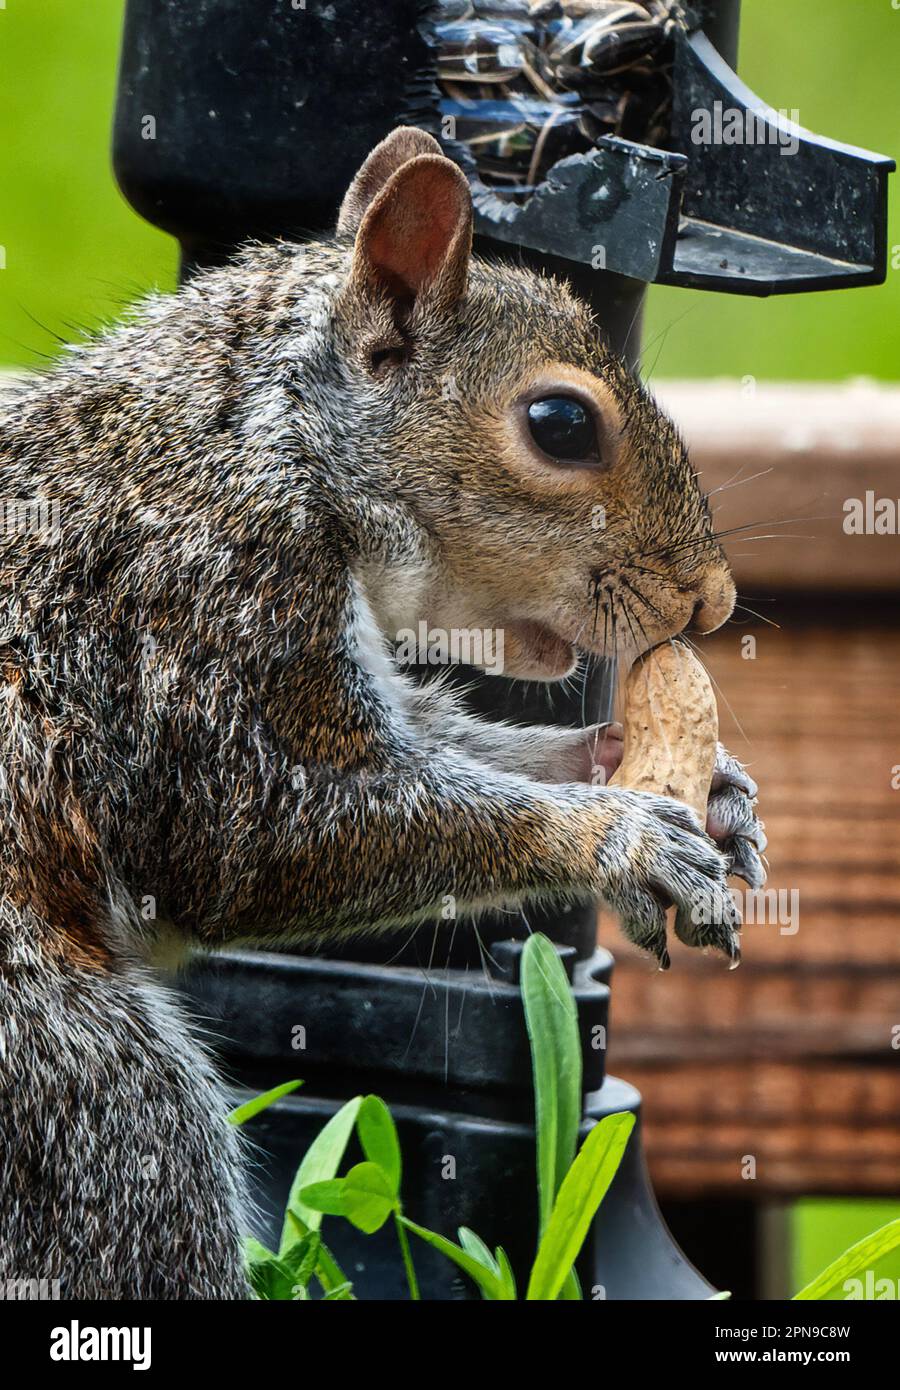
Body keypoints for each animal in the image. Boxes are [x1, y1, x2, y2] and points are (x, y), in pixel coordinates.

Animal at [0, 127, 765, 1299]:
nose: (710, 601)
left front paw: (686, 782)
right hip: (89, 1092)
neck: (275, 440)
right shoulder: (200, 614)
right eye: (560, 424)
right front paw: (624, 838)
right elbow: (264, 835)